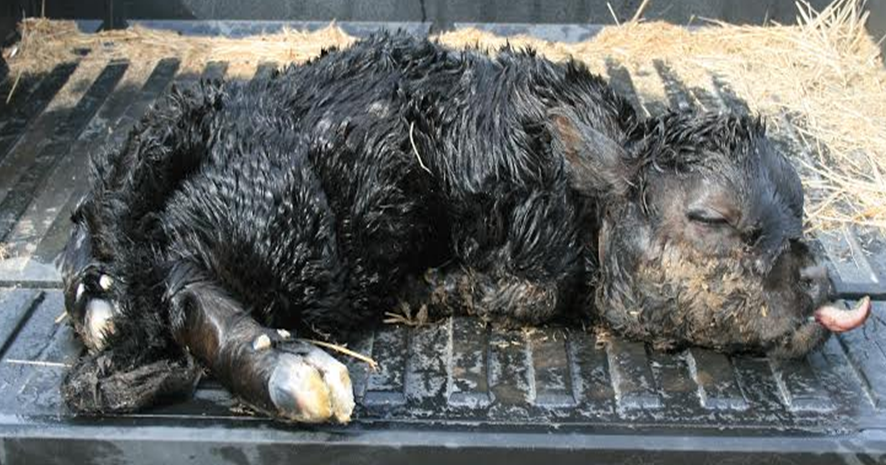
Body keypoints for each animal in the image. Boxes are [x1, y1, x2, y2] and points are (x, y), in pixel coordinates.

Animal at [58, 32, 870, 424]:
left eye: (800, 208)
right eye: (712, 217)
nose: (821, 278)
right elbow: (536, 290)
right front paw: (429, 289)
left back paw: (99, 303)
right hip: (287, 218)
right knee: (184, 277)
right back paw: (304, 377)